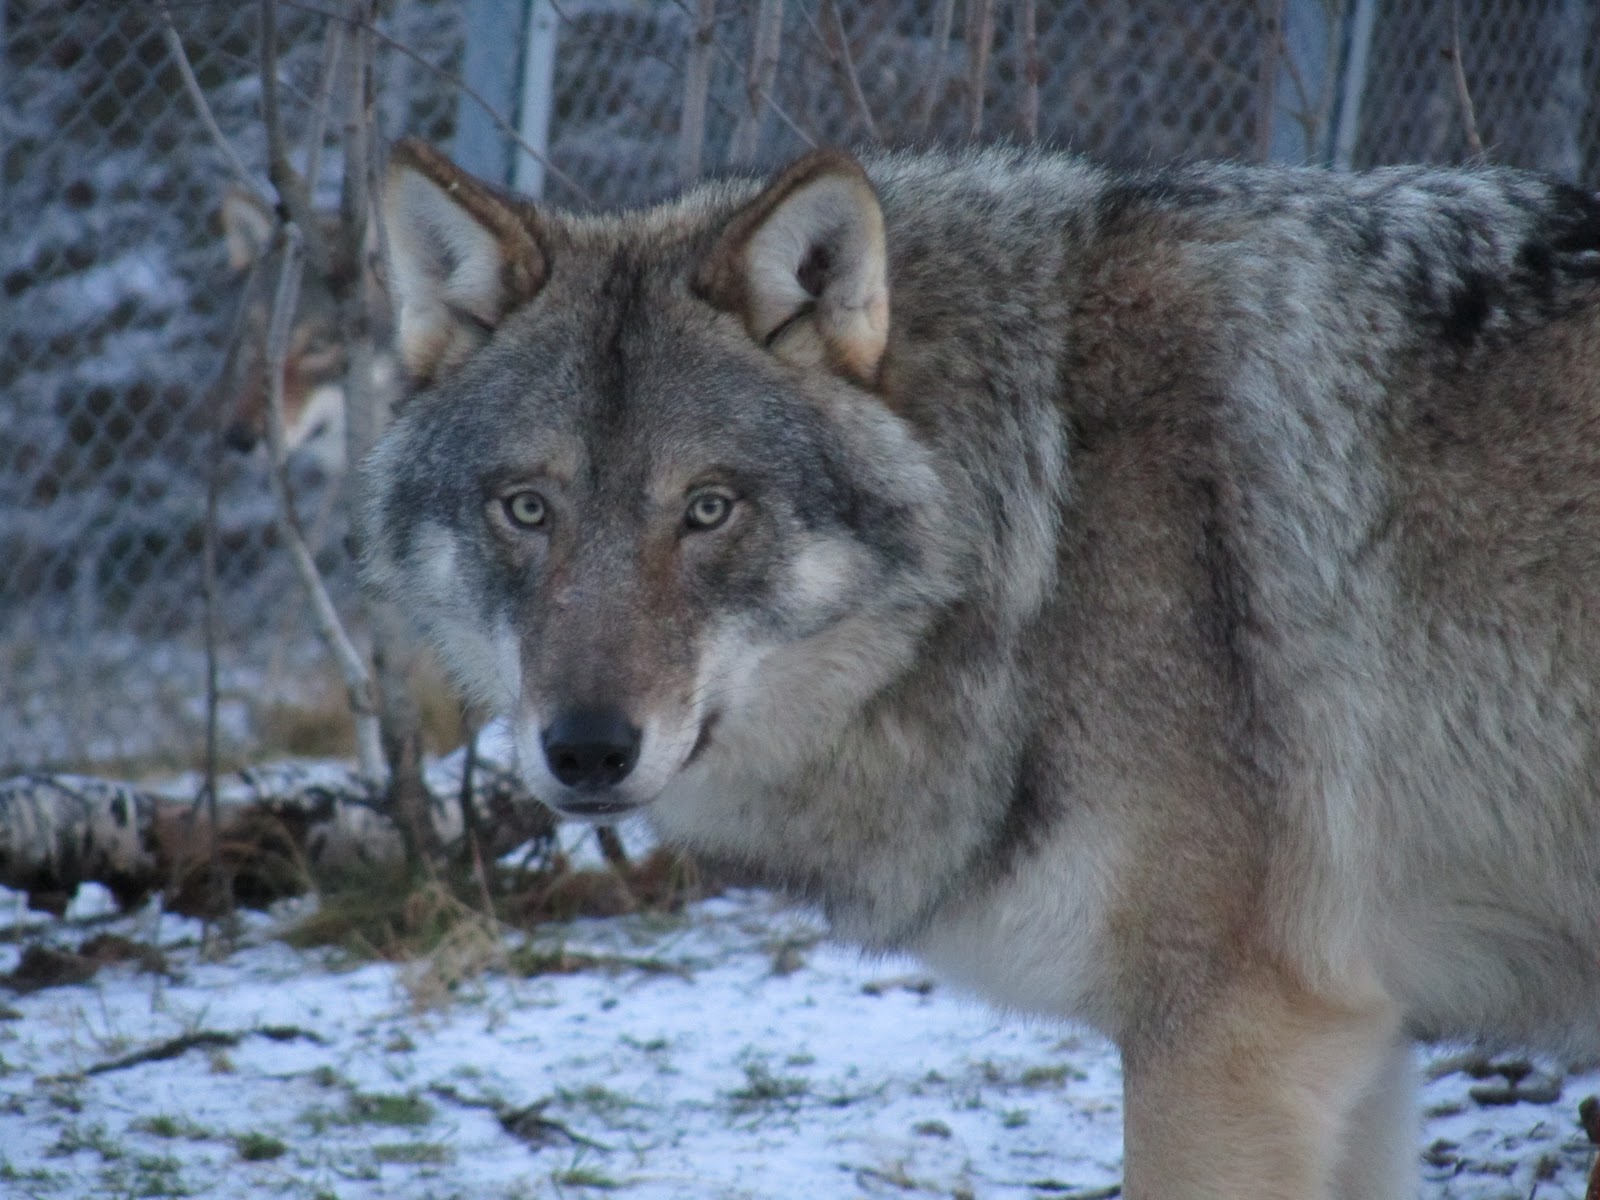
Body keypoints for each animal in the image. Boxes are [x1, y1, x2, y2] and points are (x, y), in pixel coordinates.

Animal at [357, 136, 1600, 1199]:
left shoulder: (1235, 1038)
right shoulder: (1358, 1039)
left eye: (708, 509)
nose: (585, 751)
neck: (1040, 520)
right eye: (527, 509)